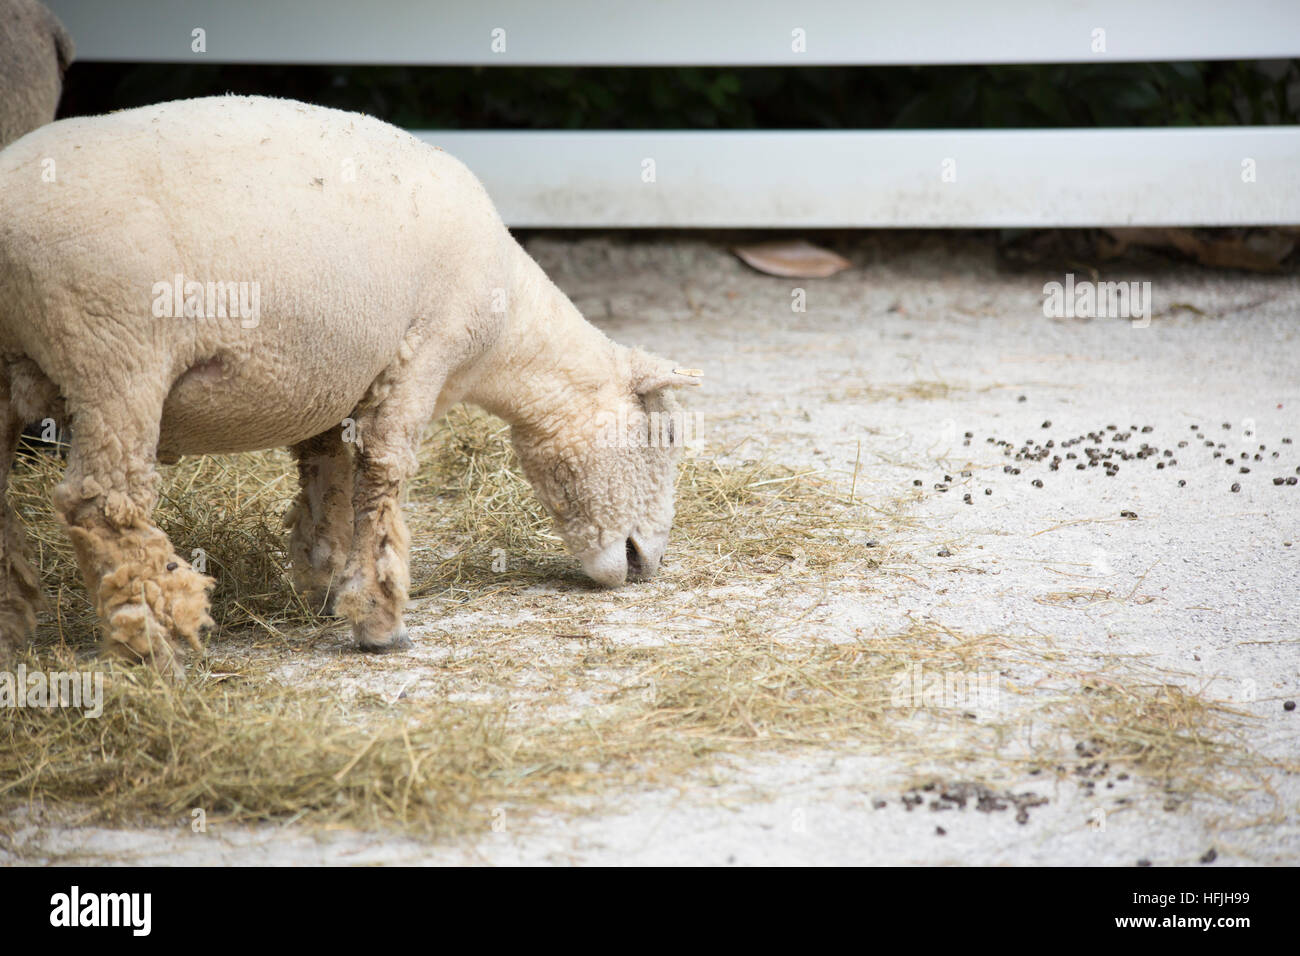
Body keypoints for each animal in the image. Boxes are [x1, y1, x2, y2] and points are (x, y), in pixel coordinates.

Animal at [0, 95, 701, 675]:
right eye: (664, 434)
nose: (647, 565)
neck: (506, 332)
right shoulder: (423, 354)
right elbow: (383, 477)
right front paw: (378, 619)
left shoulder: (338, 384)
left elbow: (327, 477)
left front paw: (324, 581)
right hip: (115, 356)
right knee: (100, 505)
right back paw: (156, 648)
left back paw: (15, 630)